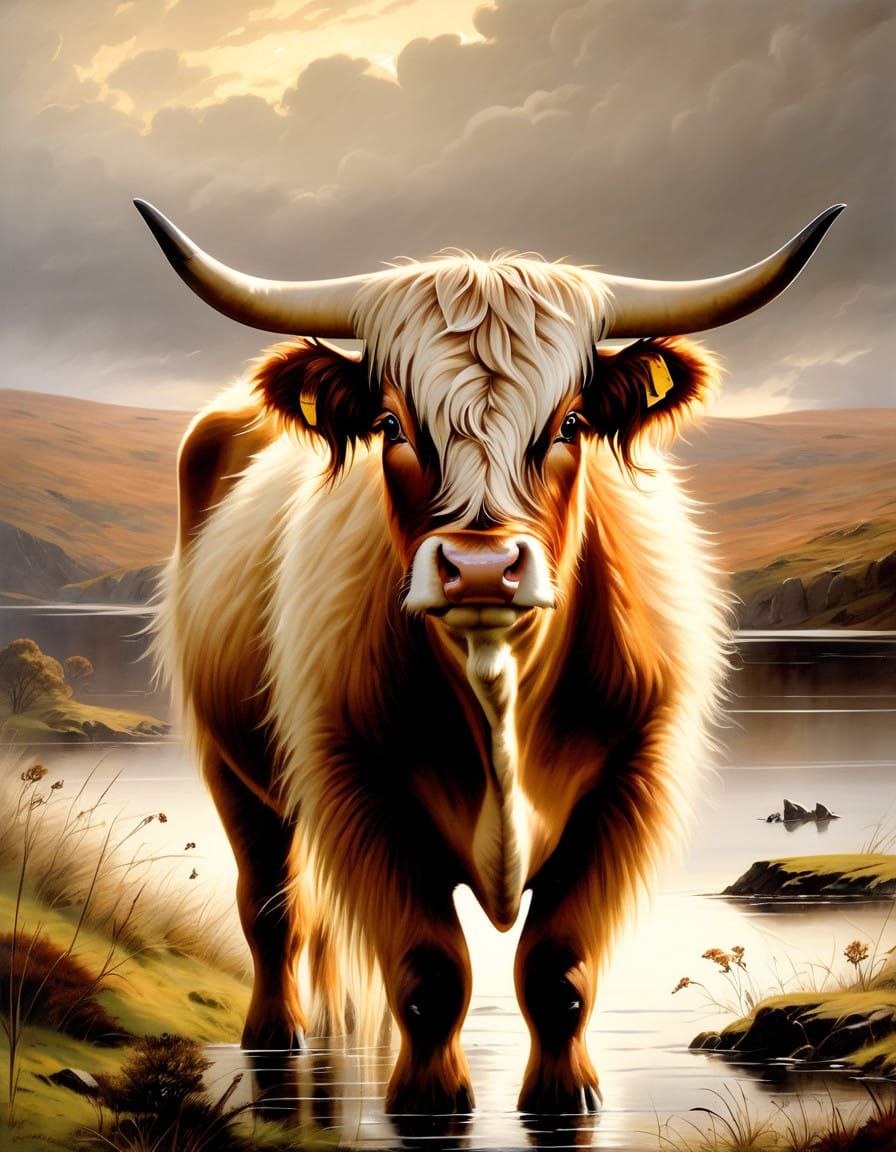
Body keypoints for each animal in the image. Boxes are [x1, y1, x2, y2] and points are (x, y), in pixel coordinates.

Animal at [140, 200, 842, 1115]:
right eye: (393, 426)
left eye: (572, 423)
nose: (479, 568)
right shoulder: (358, 787)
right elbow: (429, 970)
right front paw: (430, 1100)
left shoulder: (627, 787)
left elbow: (558, 969)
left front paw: (566, 1096)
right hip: (231, 766)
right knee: (271, 905)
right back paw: (275, 1036)